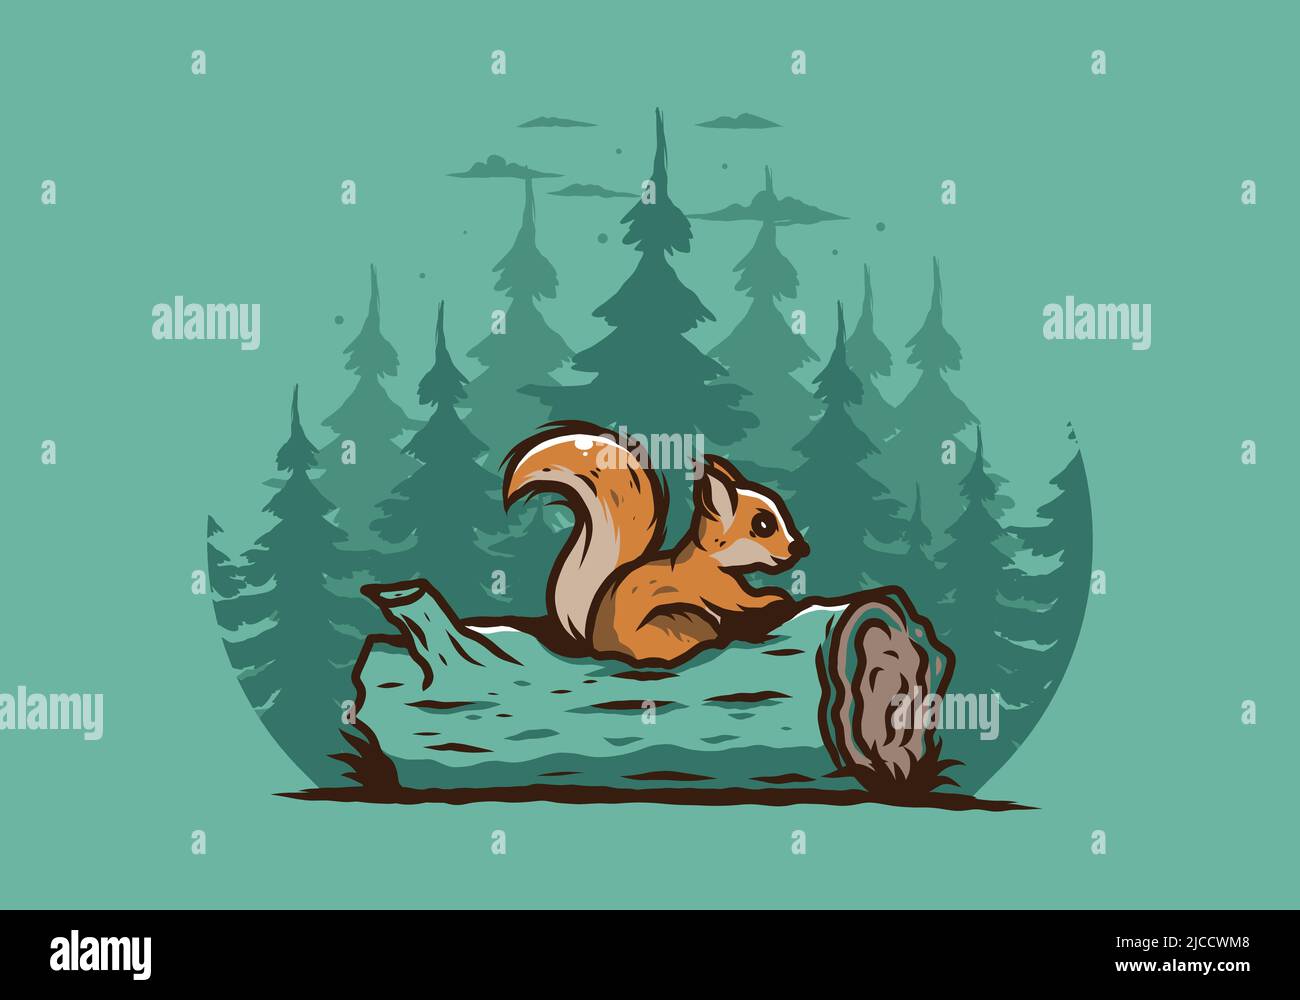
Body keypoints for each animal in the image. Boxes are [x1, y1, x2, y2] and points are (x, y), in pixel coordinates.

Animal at [503, 421, 810, 665]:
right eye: (763, 525)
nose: (801, 548)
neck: (711, 558)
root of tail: (595, 643)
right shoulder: (715, 586)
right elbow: (741, 601)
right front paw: (775, 598)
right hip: (682, 620)